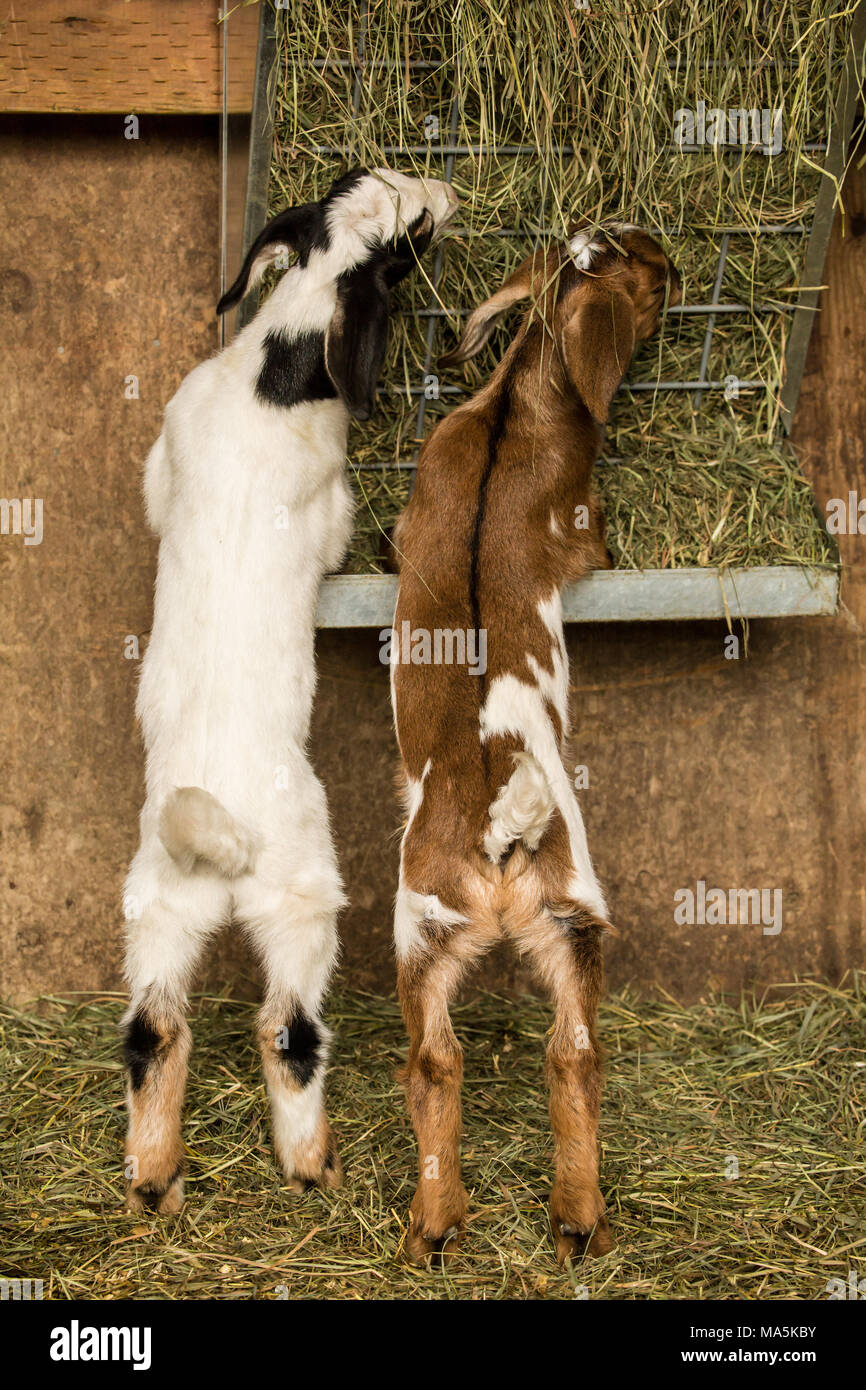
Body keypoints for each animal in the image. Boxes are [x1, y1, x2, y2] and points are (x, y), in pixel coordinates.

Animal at [122, 168, 458, 1213]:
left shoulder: (165, 458)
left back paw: (154, 1179)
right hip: (304, 899)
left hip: (155, 911)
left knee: (153, 1031)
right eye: (410, 238)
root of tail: (216, 831)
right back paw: (312, 1163)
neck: (275, 376)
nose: (447, 191)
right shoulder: (328, 502)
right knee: (289, 1028)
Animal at [389, 223, 680, 1263]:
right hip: (567, 909)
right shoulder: (582, 522)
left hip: (436, 927)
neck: (516, 403)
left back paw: (451, 1226)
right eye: (645, 275)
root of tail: (499, 828)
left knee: (445, 1058)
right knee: (566, 1055)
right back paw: (567, 1219)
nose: (677, 265)